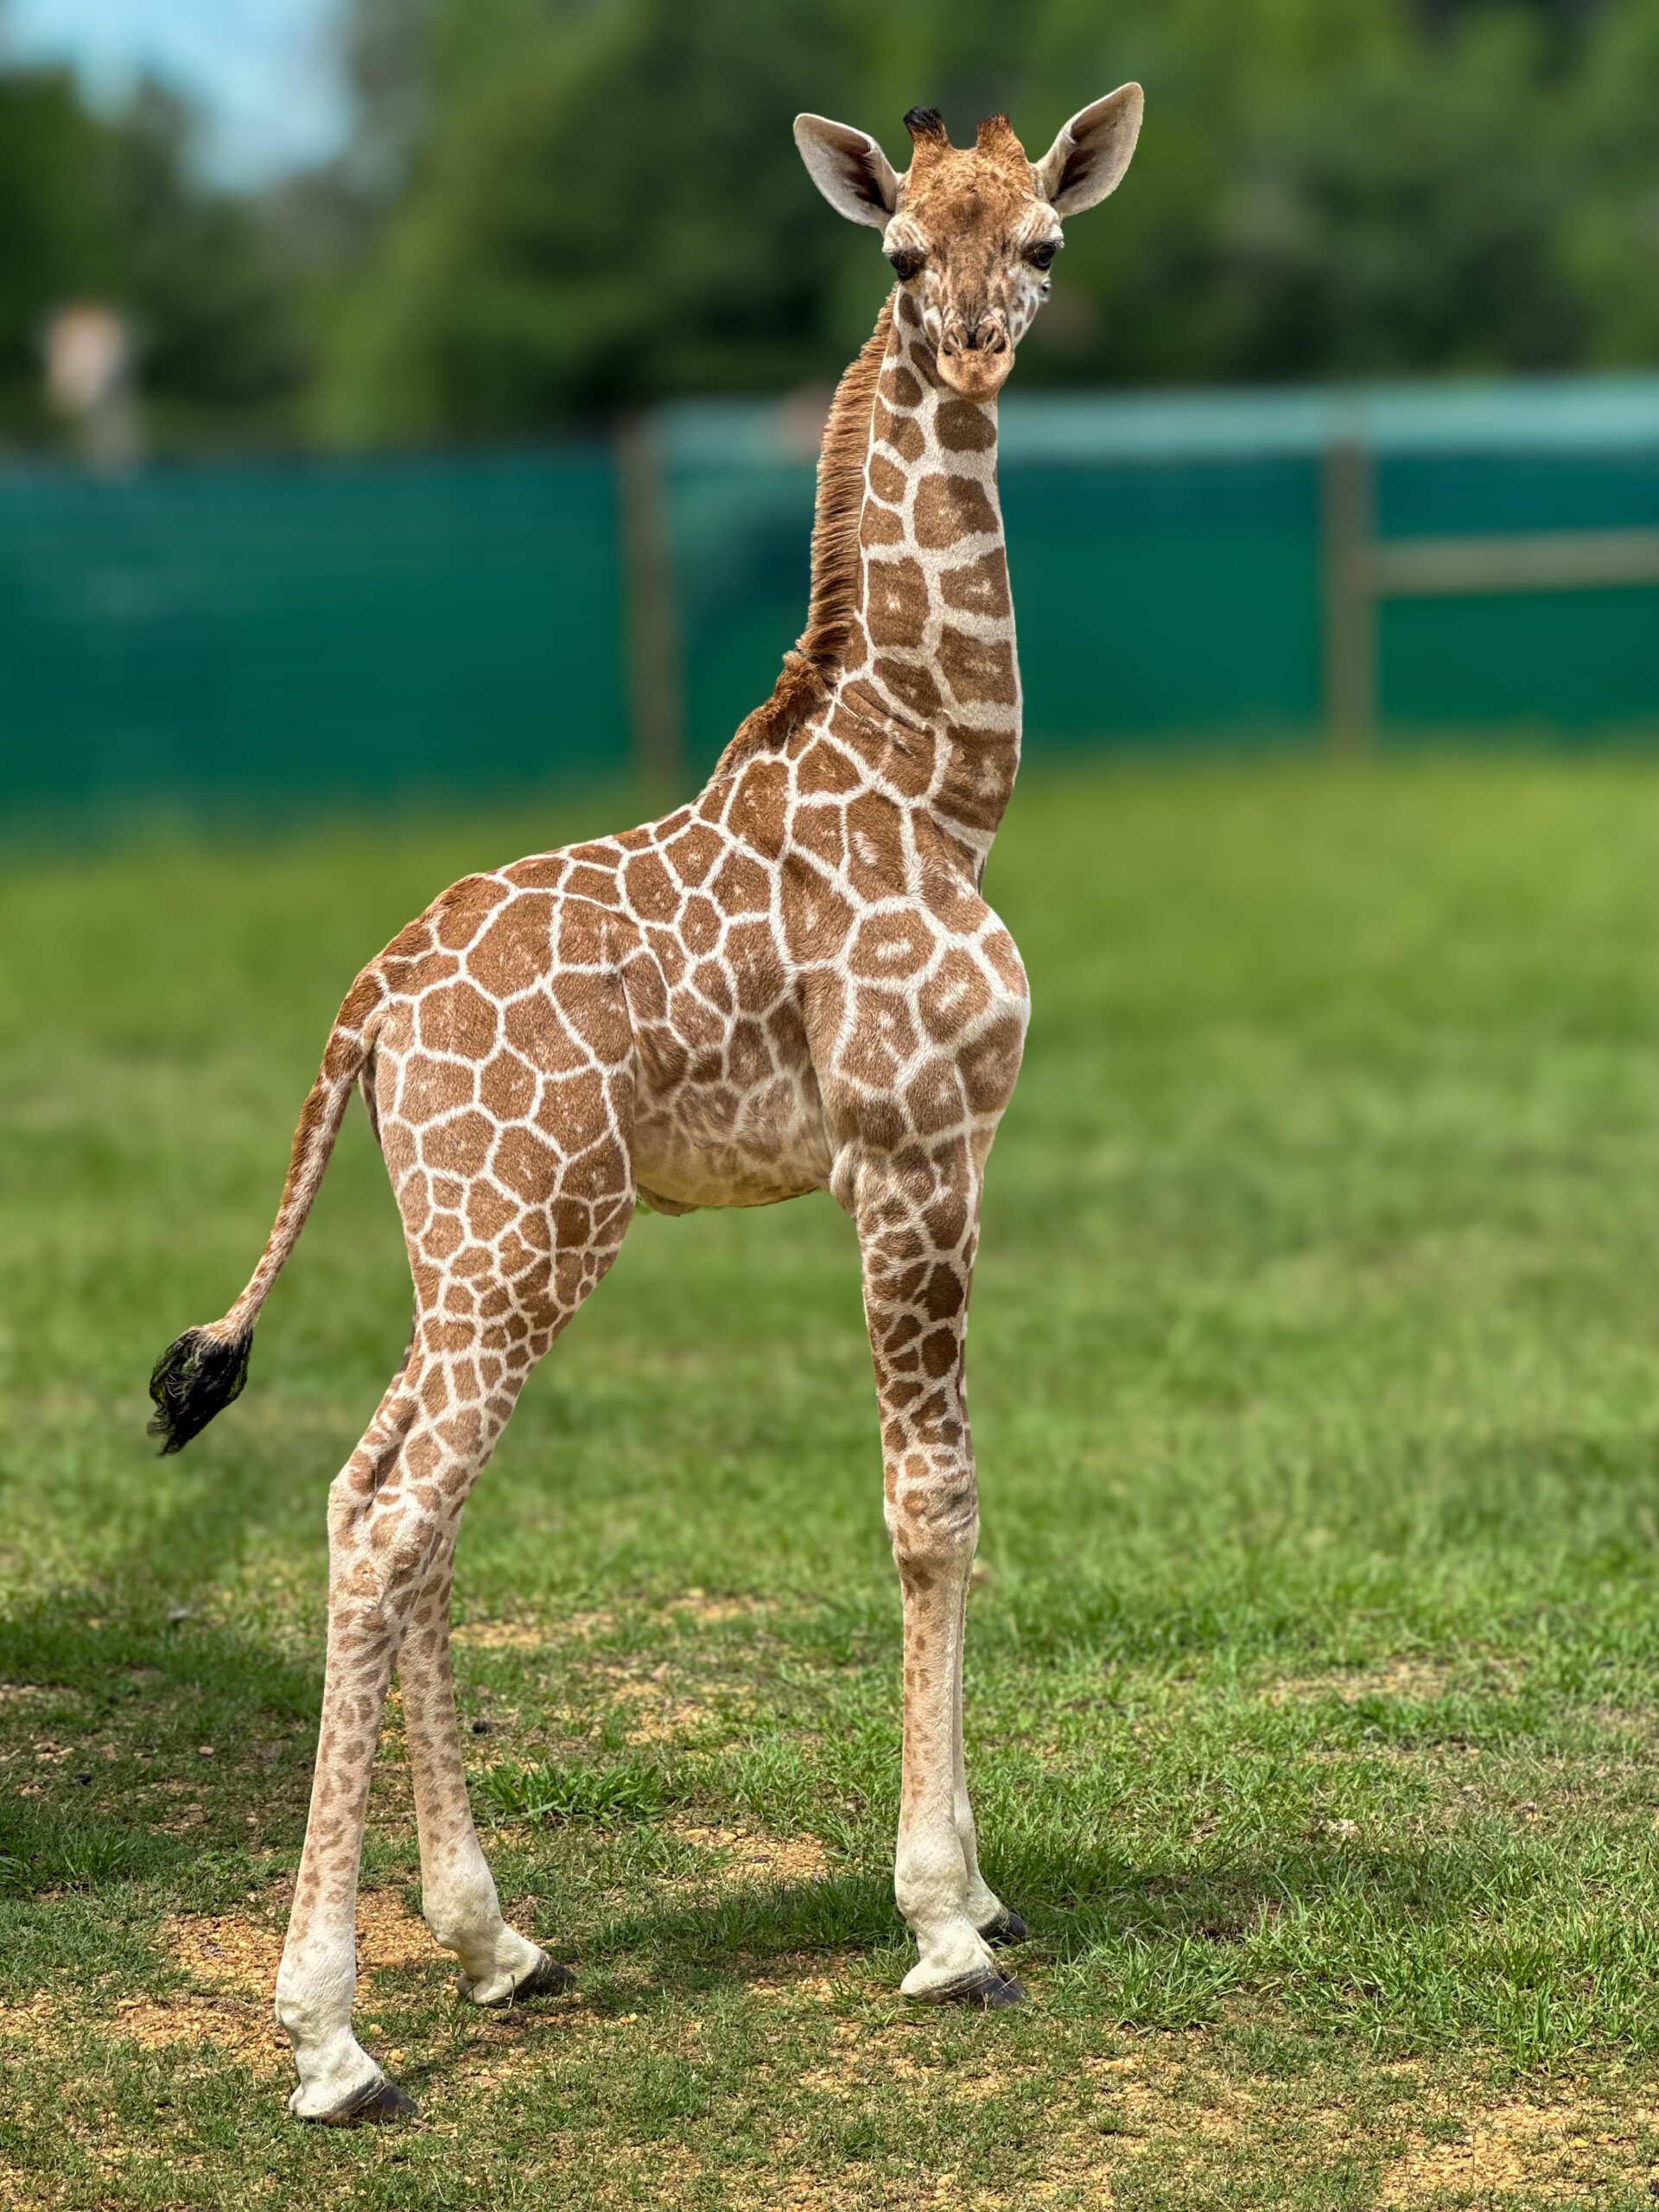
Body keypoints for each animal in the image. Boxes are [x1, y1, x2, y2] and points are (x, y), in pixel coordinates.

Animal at [148, 88, 1143, 2124]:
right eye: (899, 254)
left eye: (1045, 244)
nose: (975, 347)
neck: (938, 788)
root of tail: (368, 1010)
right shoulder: (912, 1147)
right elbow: (931, 1502)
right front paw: (945, 1928)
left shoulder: (954, 1155)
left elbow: (960, 1490)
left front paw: (984, 1890)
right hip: (529, 1235)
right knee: (392, 1520)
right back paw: (334, 2037)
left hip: (473, 1242)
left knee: (375, 1495)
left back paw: (498, 1942)